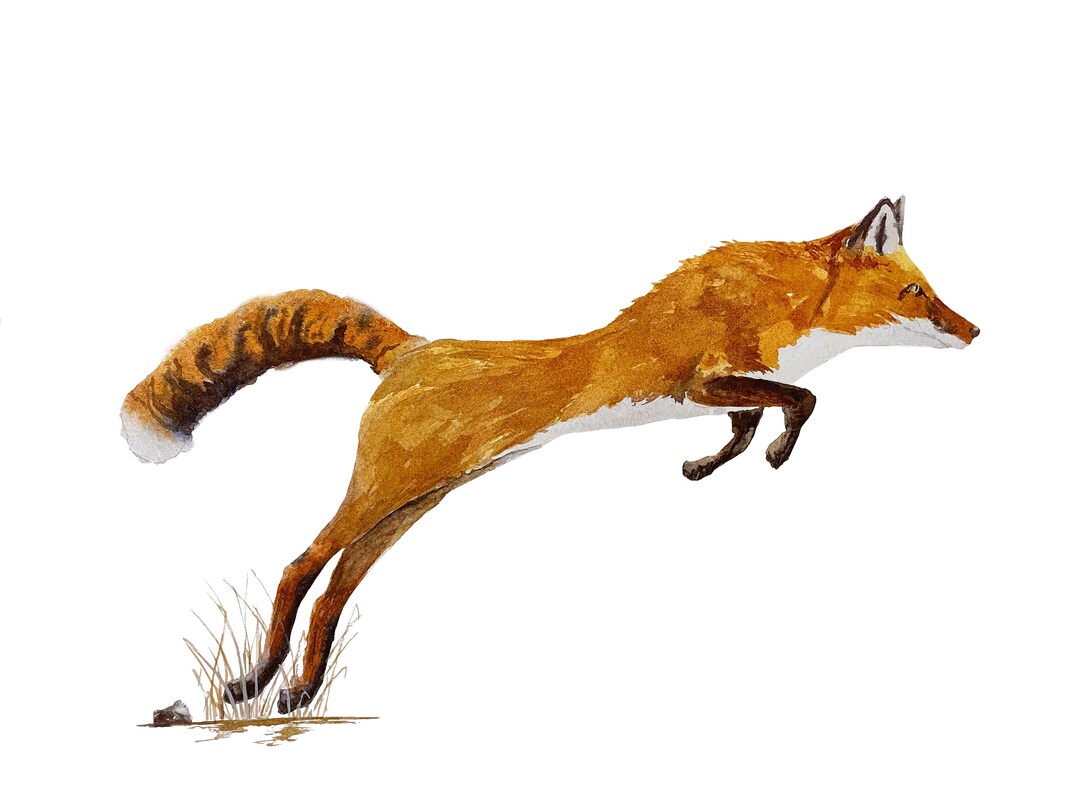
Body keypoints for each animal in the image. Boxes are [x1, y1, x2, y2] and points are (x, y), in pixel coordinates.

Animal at [121, 196, 979, 713]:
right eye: (916, 293)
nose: (974, 329)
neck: (779, 302)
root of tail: (411, 346)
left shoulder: (717, 389)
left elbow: (750, 419)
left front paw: (707, 467)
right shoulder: (702, 376)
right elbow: (798, 402)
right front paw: (773, 455)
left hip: (410, 507)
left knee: (333, 593)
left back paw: (296, 692)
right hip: (384, 495)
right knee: (300, 568)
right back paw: (258, 682)